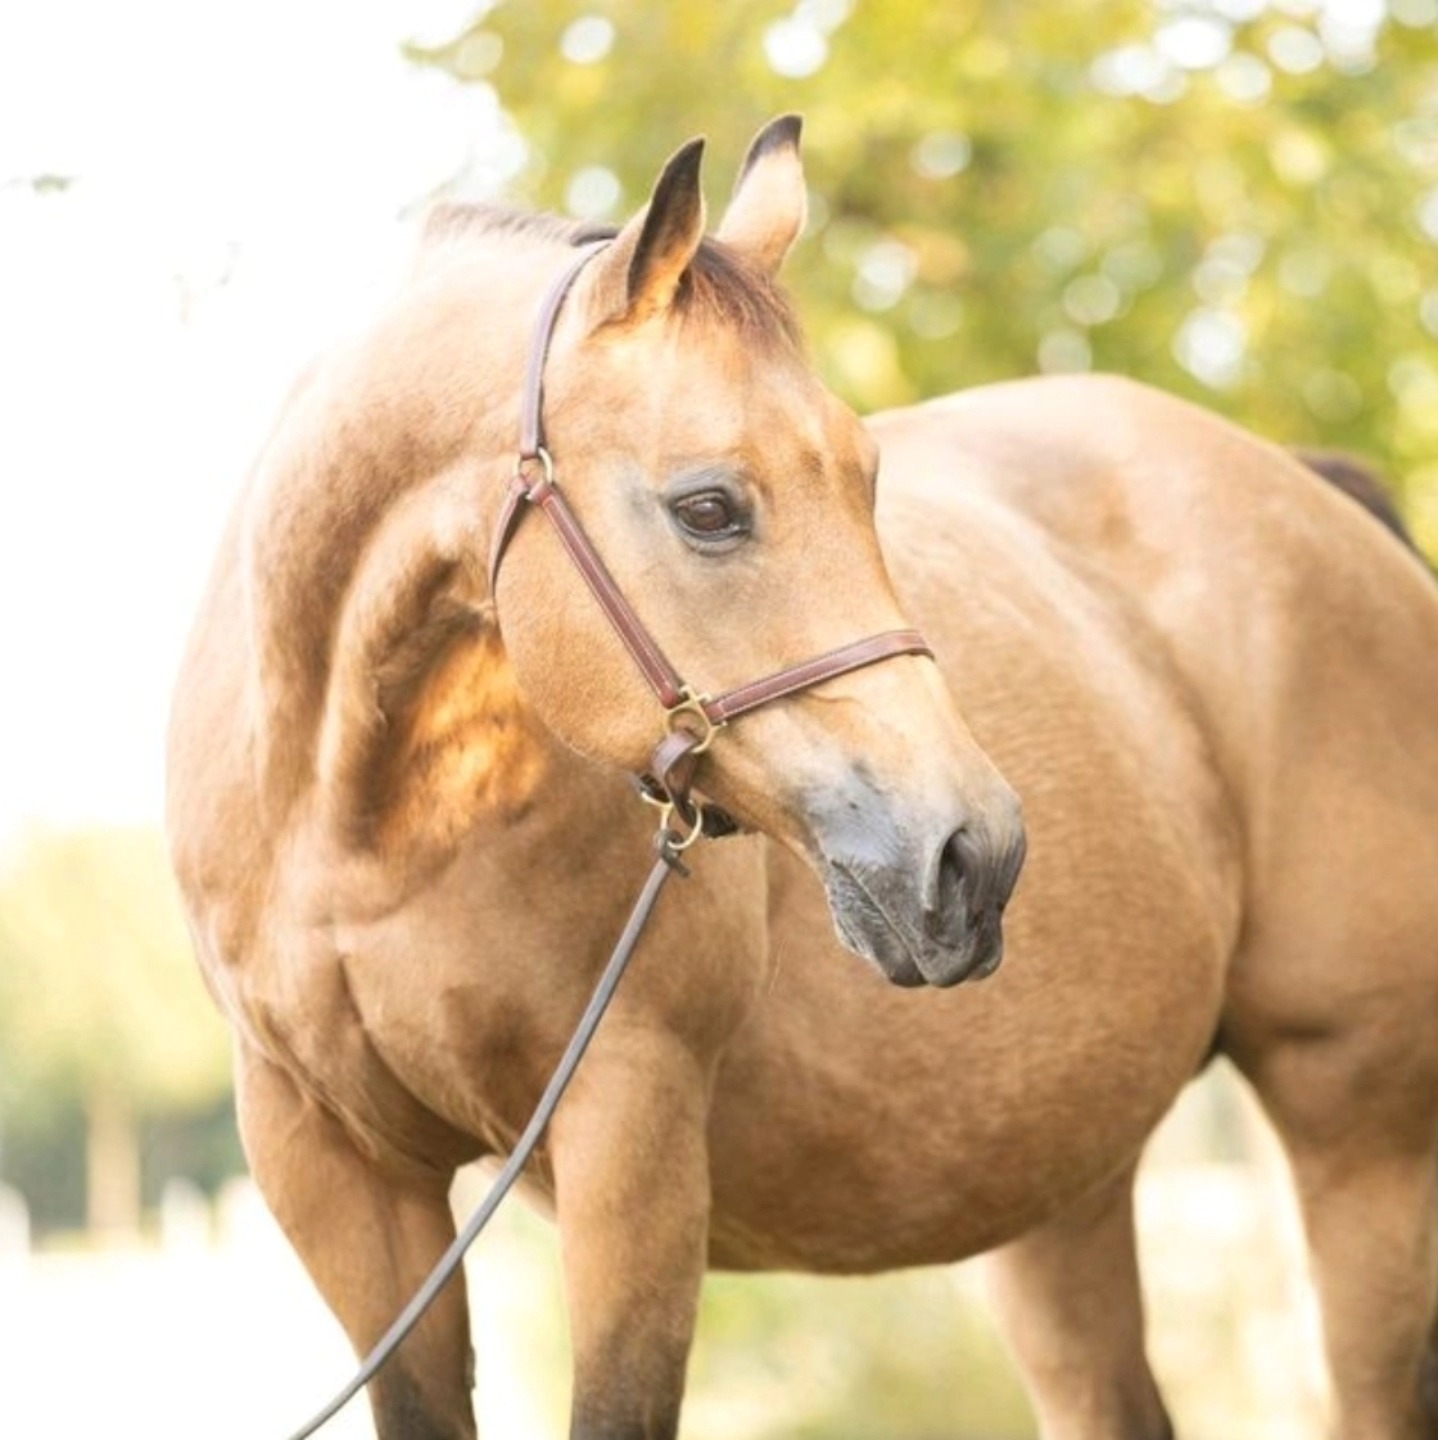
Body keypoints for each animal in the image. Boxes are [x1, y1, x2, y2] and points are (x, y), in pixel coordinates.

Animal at [166, 116, 1438, 1440]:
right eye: (708, 508)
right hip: (1061, 1186)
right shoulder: (332, 1167)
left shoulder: (630, 1133)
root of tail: (1312, 494)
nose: (973, 853)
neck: (371, 834)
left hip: (1362, 1138)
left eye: (868, 477)